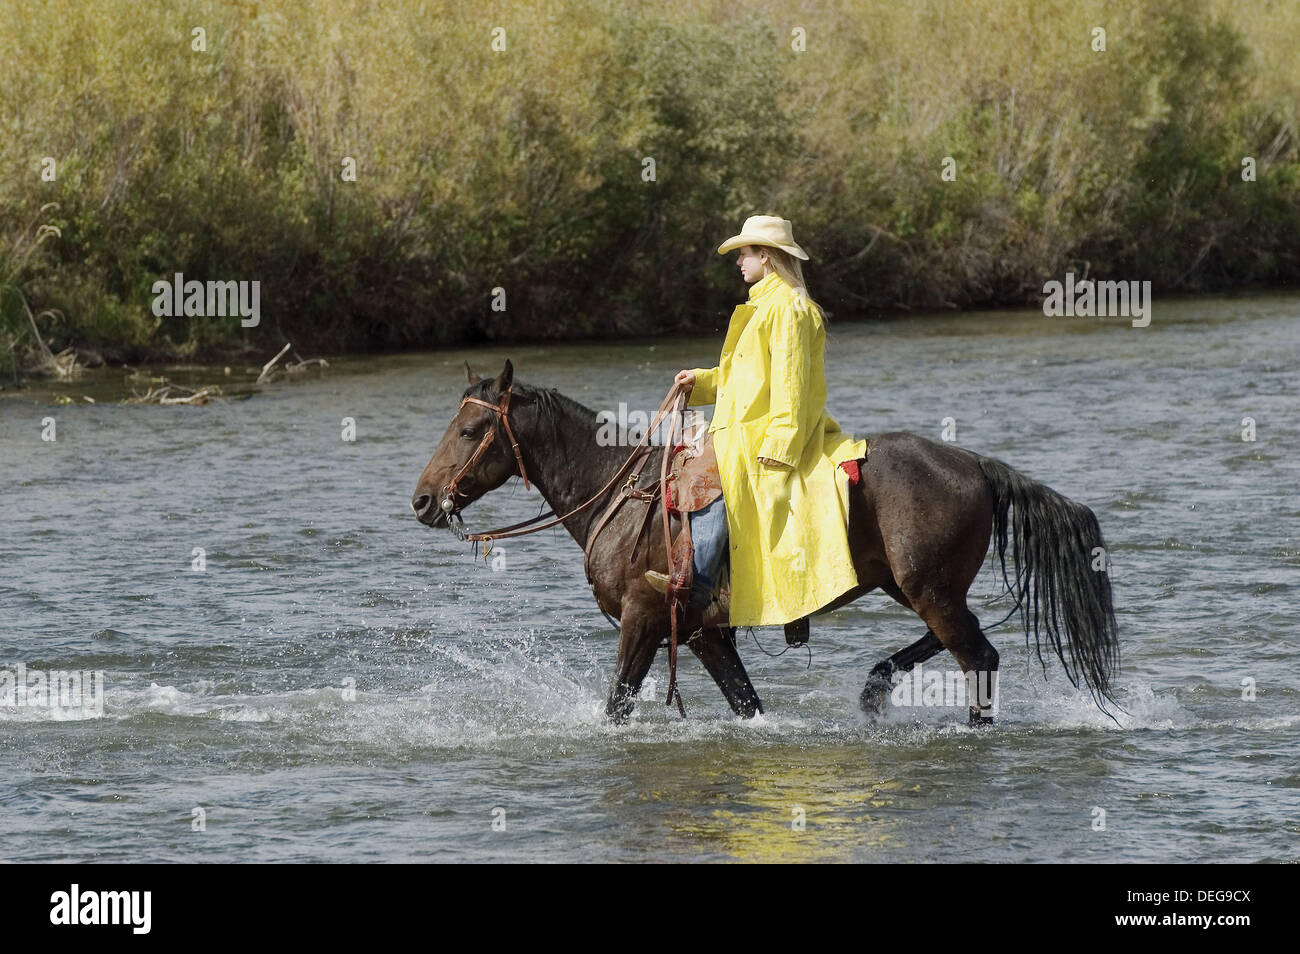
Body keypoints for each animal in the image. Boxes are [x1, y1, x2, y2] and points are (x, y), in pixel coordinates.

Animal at [411, 360, 1120, 725]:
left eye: (470, 427)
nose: (422, 500)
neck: (624, 494)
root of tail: (974, 464)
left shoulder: (644, 618)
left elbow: (616, 705)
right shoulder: (702, 634)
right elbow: (746, 704)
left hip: (929, 589)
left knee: (979, 659)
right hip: (917, 586)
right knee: (955, 646)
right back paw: (875, 687)